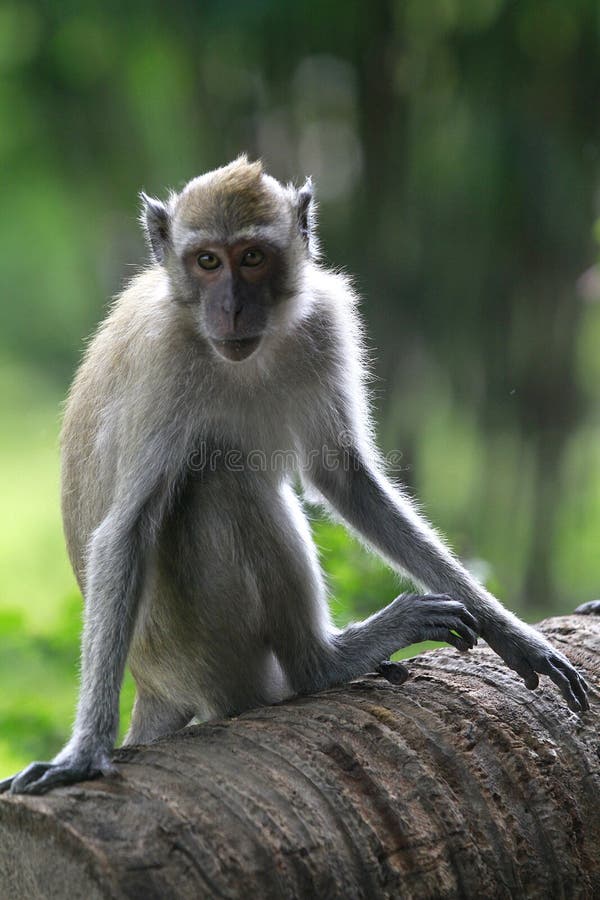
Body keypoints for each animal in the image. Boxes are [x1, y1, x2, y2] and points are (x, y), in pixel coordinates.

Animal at [1, 156, 588, 796]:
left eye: (252, 257)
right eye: (207, 261)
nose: (231, 307)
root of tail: (155, 686)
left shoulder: (324, 326)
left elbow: (345, 478)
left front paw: (514, 635)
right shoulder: (164, 364)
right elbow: (127, 529)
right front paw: (83, 753)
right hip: (211, 649)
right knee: (221, 479)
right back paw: (322, 665)